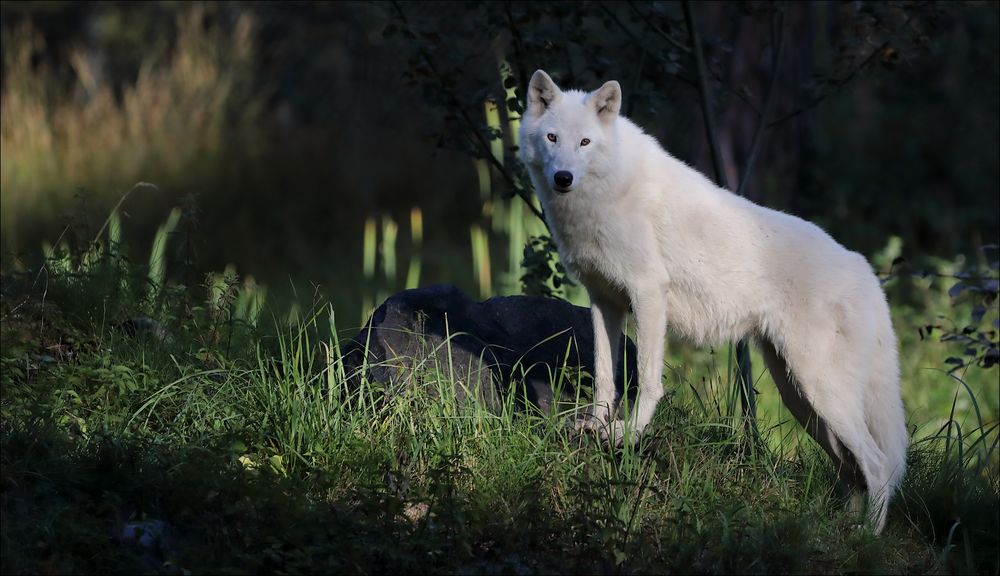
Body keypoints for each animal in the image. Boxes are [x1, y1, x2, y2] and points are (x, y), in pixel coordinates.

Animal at [517, 69, 908, 534]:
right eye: (552, 138)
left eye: (585, 143)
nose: (563, 178)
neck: (607, 190)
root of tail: (865, 271)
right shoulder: (604, 302)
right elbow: (604, 376)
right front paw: (595, 425)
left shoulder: (648, 295)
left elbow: (647, 381)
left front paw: (627, 433)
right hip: (801, 398)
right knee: (853, 470)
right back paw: (840, 532)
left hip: (819, 391)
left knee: (878, 464)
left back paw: (867, 537)